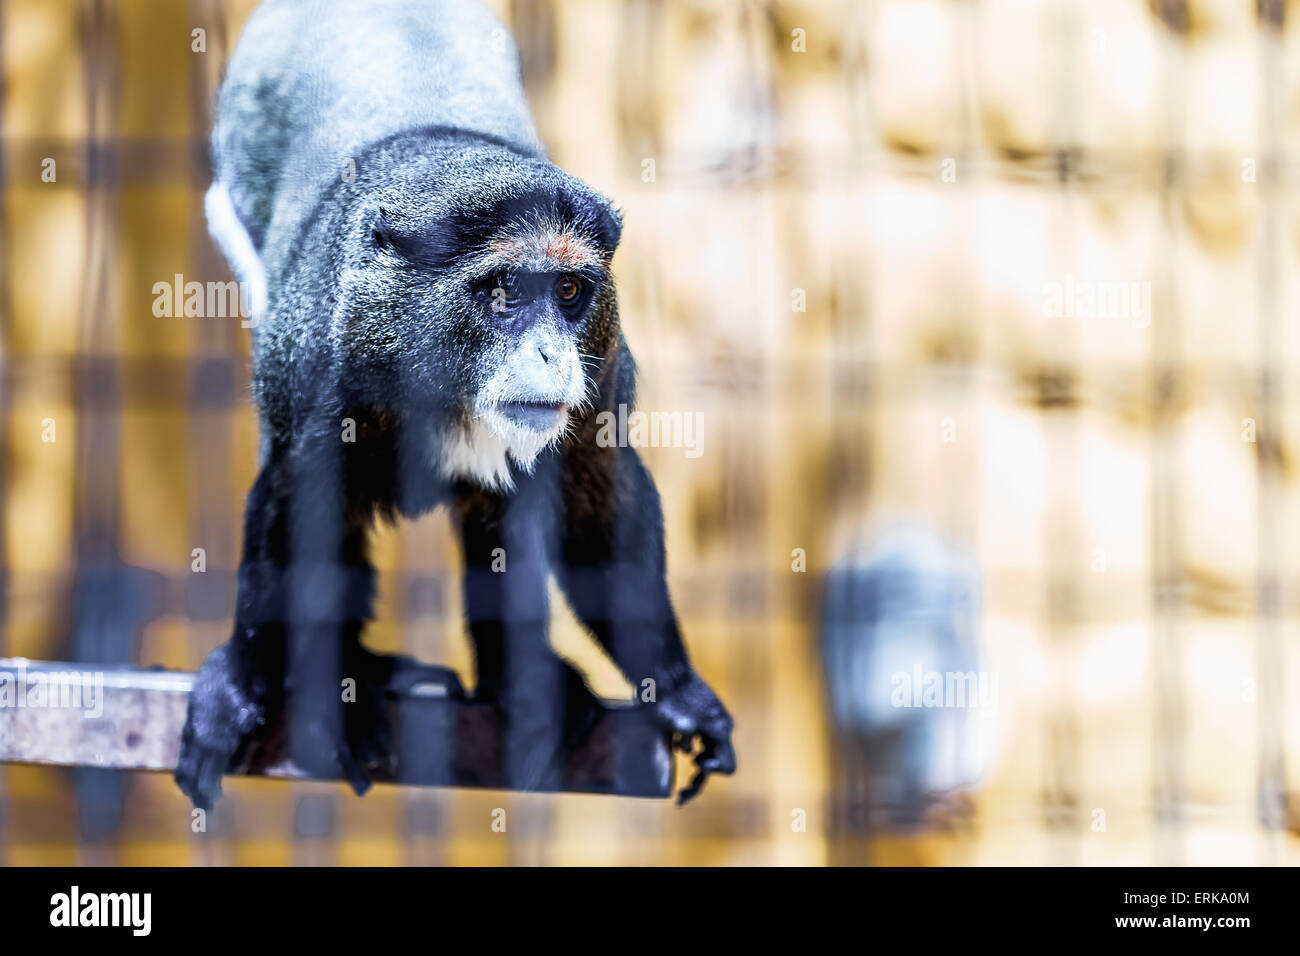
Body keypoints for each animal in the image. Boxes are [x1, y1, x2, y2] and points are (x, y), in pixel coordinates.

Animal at [175, 0, 735, 810]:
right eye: (505, 291)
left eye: (569, 291)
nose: (550, 355)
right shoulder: (321, 364)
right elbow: (295, 501)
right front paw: (240, 689)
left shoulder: (604, 371)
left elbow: (598, 502)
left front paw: (680, 689)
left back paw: (522, 683)